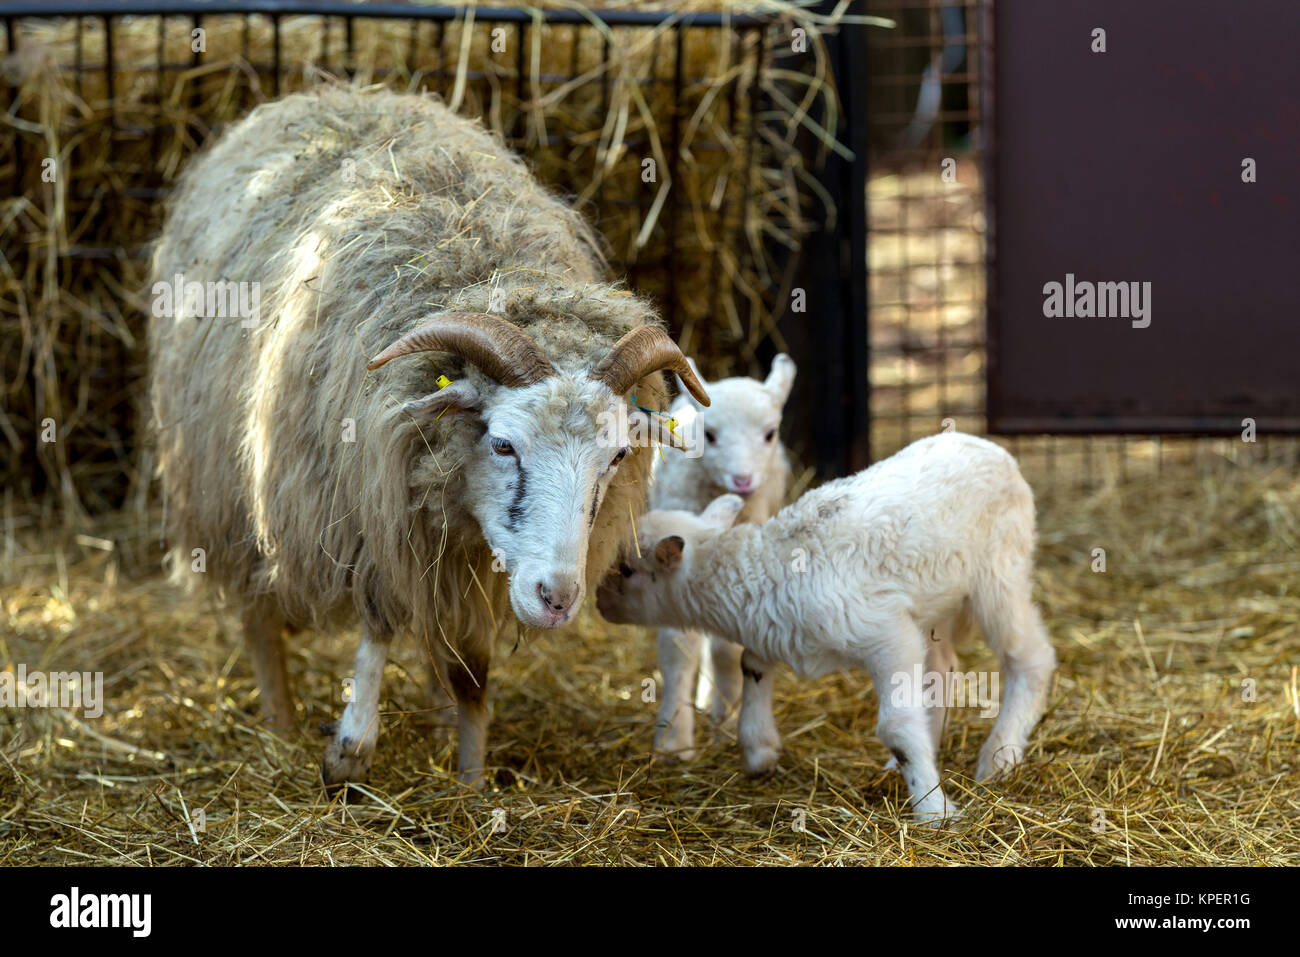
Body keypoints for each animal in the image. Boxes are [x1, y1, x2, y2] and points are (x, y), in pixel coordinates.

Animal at [148, 86, 709, 788]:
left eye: (617, 457)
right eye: (503, 444)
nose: (557, 598)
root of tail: (326, 91)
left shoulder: (470, 561)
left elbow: (474, 672)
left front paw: (469, 773)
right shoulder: (370, 515)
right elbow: (377, 623)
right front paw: (350, 747)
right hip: (228, 490)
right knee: (258, 614)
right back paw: (279, 720)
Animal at [597, 432, 1057, 823]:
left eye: (626, 568)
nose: (598, 602)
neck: (762, 567)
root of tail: (991, 448)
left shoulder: (886, 634)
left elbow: (894, 726)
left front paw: (934, 811)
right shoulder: (777, 629)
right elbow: (752, 665)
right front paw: (759, 751)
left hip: (1000, 570)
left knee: (1029, 658)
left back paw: (999, 758)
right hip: (934, 599)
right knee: (942, 667)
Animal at [648, 355, 796, 759]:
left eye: (770, 433)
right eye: (710, 435)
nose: (742, 480)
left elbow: (726, 648)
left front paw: (726, 721)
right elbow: (679, 648)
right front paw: (674, 741)